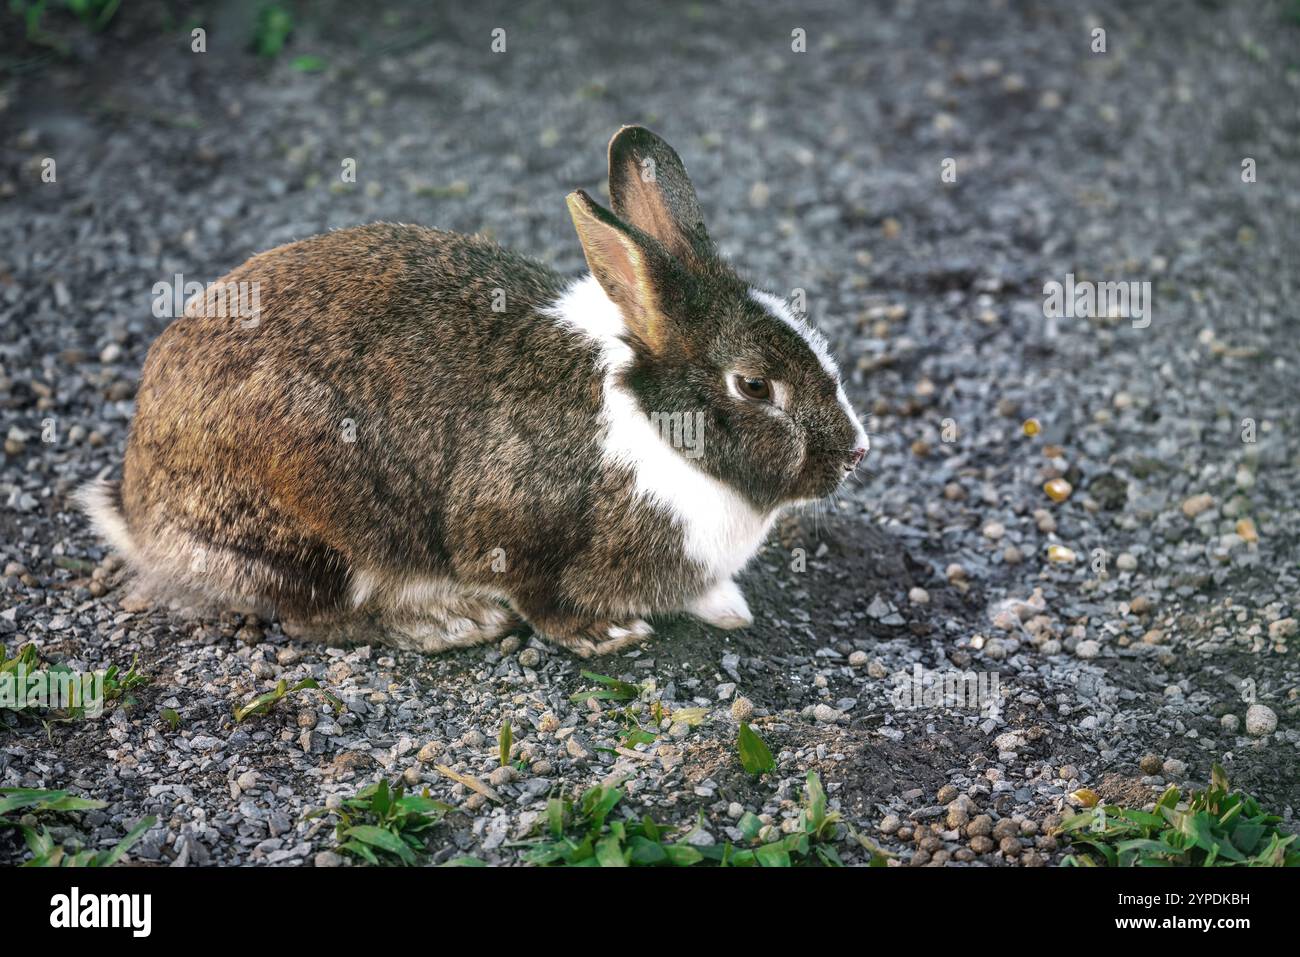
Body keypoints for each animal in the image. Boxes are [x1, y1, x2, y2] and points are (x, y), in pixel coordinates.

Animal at [77, 125, 869, 657]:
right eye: (755, 385)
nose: (856, 452)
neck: (652, 420)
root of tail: (138, 504)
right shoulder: (514, 530)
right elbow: (541, 596)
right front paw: (606, 632)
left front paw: (728, 609)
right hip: (307, 525)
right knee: (319, 613)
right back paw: (453, 621)